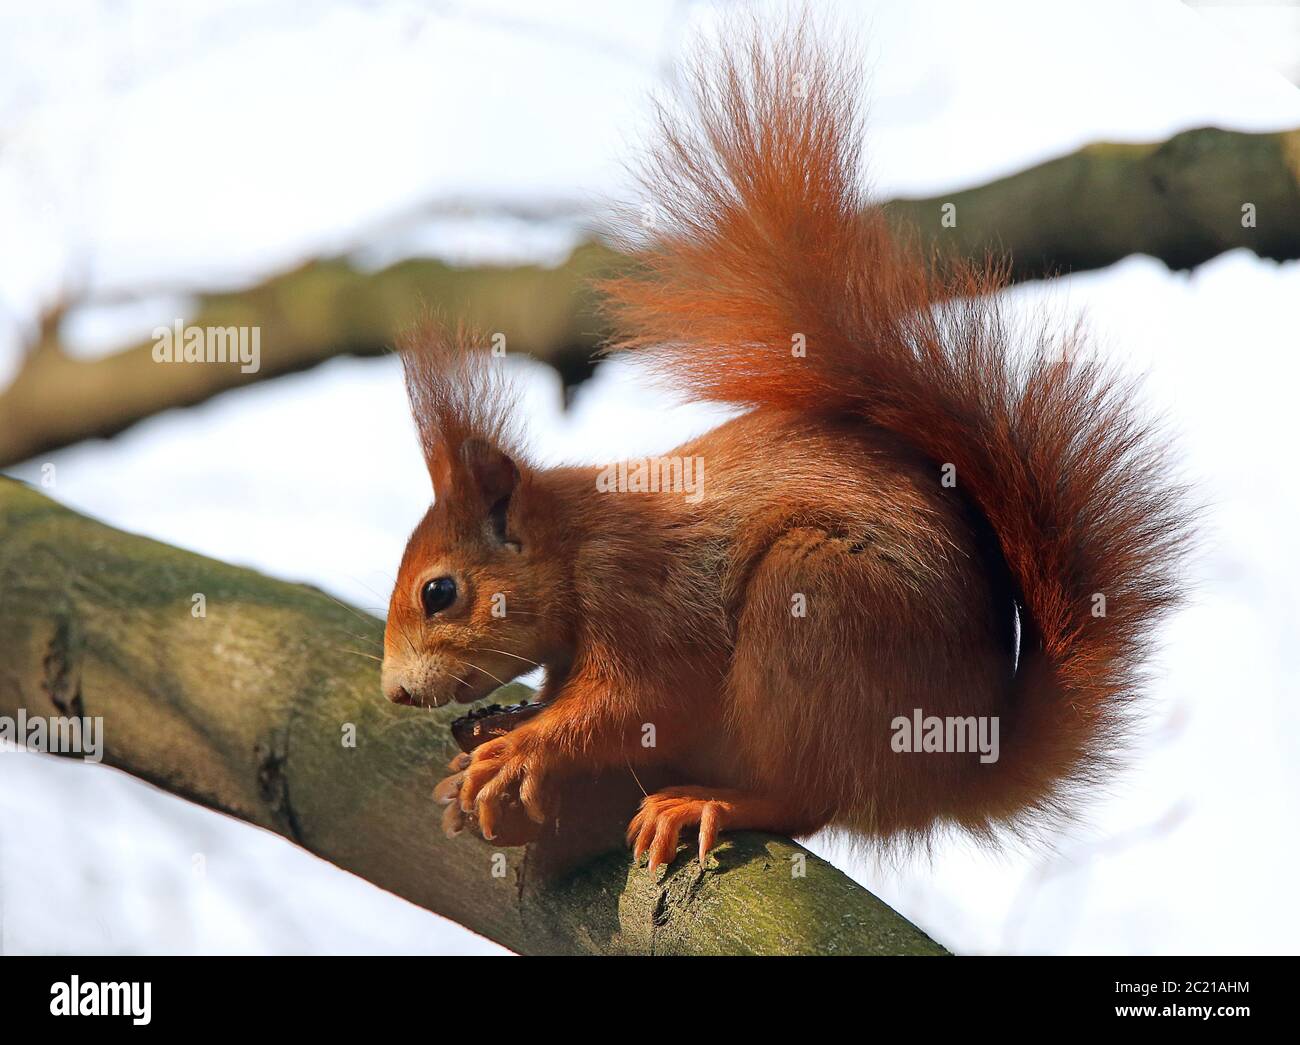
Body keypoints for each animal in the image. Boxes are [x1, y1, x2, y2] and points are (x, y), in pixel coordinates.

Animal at [381, 19, 1190, 872]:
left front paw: (524, 745)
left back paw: (713, 801)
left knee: (809, 797)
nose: (395, 692)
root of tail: (955, 761)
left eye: (440, 591)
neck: (576, 542)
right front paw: (505, 724)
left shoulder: (643, 592)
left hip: (817, 603)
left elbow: (639, 697)